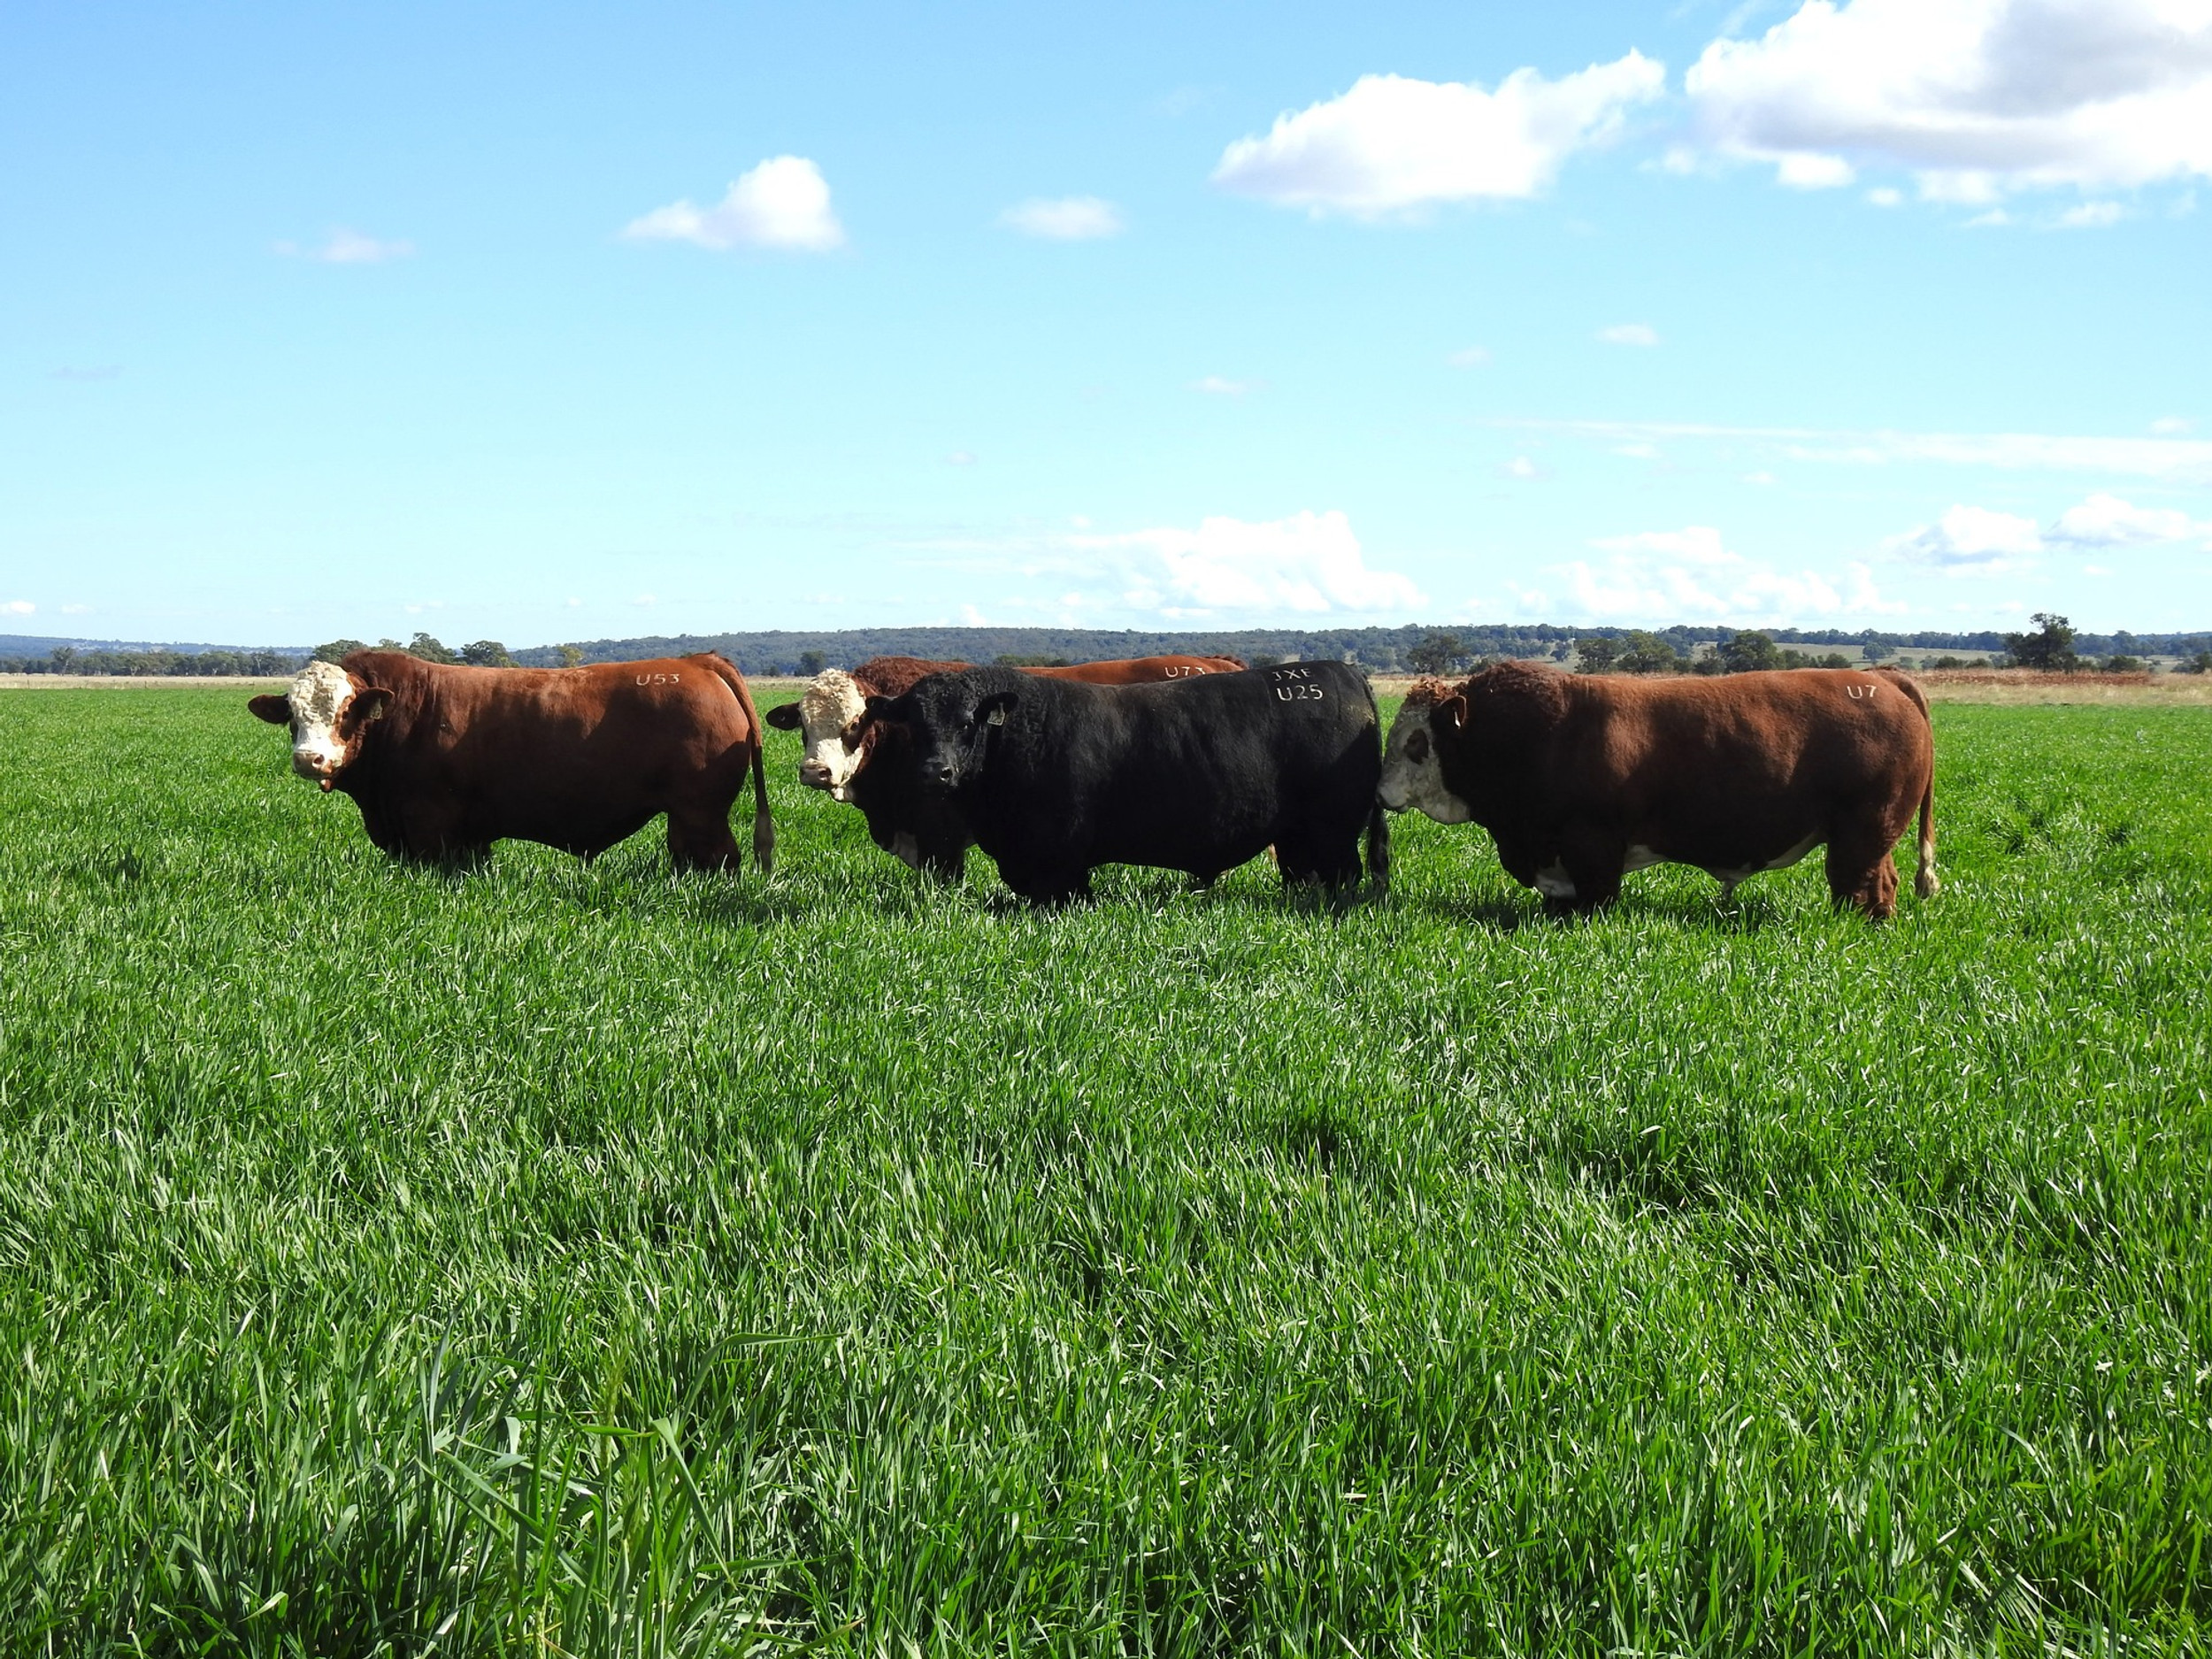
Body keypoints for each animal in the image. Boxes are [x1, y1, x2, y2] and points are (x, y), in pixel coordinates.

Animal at [248, 650, 773, 872]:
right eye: (293, 715)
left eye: (344, 711)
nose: (310, 758)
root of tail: (696, 660)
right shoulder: (466, 834)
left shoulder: (429, 826)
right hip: (687, 815)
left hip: (701, 812)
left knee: (718, 859)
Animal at [851, 661, 1388, 905]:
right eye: (915, 726)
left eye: (967, 724)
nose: (935, 771)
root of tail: (1343, 672)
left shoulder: (1058, 860)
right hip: (1299, 836)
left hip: (1334, 831)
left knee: (1343, 877)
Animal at [1377, 662, 1936, 918]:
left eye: (1416, 742)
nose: (1379, 793)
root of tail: (1879, 678)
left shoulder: (1592, 844)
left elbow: (1597, 897)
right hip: (1869, 837)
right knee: (1880, 880)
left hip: (1861, 834)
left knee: (1861, 887)